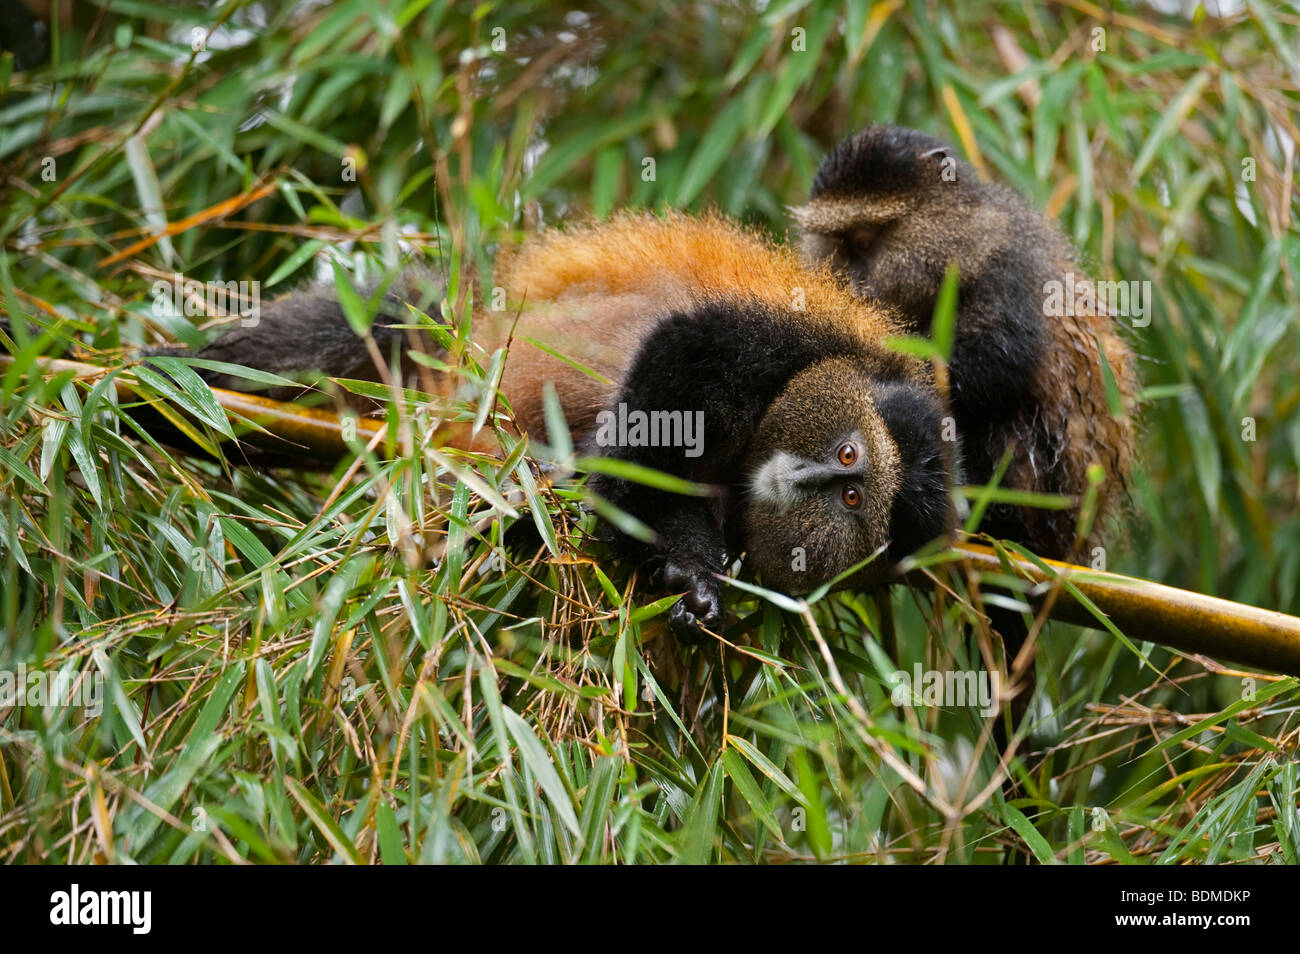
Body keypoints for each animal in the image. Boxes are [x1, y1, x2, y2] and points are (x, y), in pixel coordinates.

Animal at [11, 213, 952, 639]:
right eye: (846, 454)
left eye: (853, 498)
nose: (816, 477)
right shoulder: (792, 344)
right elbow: (678, 363)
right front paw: (681, 558)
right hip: (460, 339)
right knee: (373, 319)